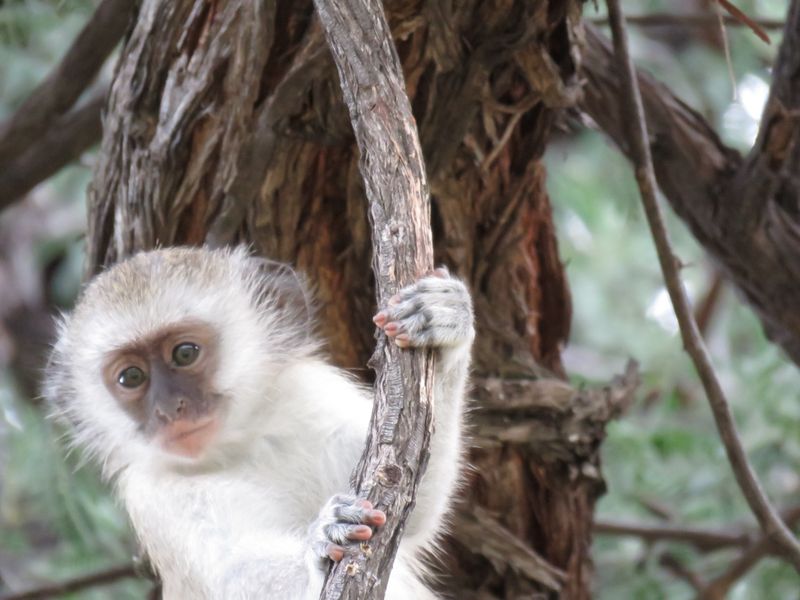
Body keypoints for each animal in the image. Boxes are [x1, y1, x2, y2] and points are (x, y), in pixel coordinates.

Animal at [44, 246, 474, 599]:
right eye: (131, 377)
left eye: (185, 353)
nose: (169, 410)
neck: (239, 446)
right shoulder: (154, 494)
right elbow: (234, 571)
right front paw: (318, 549)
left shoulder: (310, 395)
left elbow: (405, 496)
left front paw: (446, 327)